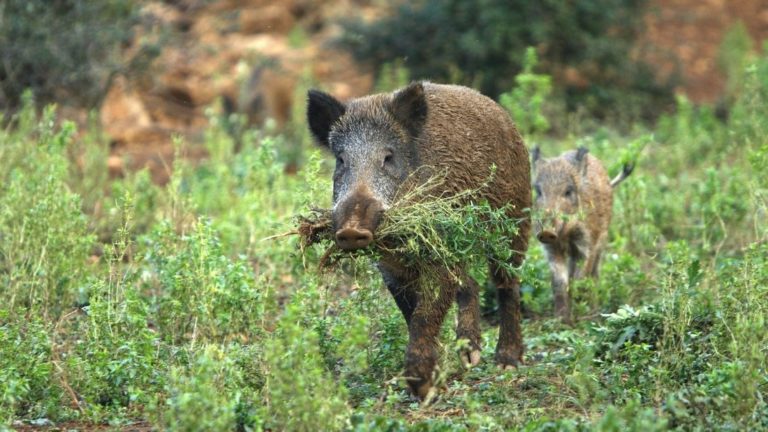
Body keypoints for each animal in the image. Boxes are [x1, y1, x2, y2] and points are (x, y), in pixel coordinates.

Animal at [306, 82, 531, 399]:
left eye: (388, 157)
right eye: (341, 160)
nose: (351, 230)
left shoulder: (439, 257)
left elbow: (425, 315)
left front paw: (425, 389)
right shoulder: (391, 269)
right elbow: (411, 313)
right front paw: (433, 382)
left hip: (516, 221)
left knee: (507, 284)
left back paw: (507, 362)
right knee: (470, 284)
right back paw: (470, 357)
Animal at [531, 147, 633, 324]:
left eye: (568, 191)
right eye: (538, 191)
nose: (546, 231)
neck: (565, 235)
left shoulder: (588, 243)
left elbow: (580, 278)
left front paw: (579, 318)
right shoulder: (551, 248)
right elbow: (559, 282)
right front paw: (561, 320)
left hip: (602, 242)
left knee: (594, 274)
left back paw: (595, 310)